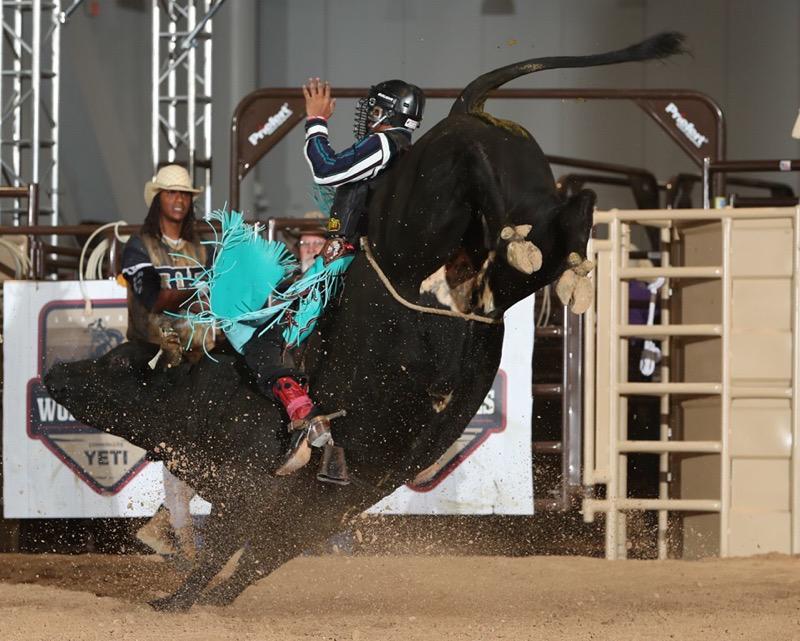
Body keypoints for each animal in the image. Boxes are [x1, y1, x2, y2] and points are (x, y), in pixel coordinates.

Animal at [44, 32, 685, 611]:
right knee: (559, 221)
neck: (200, 390)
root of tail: (466, 110)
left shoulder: (251, 487)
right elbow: (257, 558)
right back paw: (554, 262)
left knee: (476, 171)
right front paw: (214, 597)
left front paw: (177, 601)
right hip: (519, 227)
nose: (52, 373)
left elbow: (225, 547)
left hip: (432, 206)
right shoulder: (318, 506)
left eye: (113, 363)